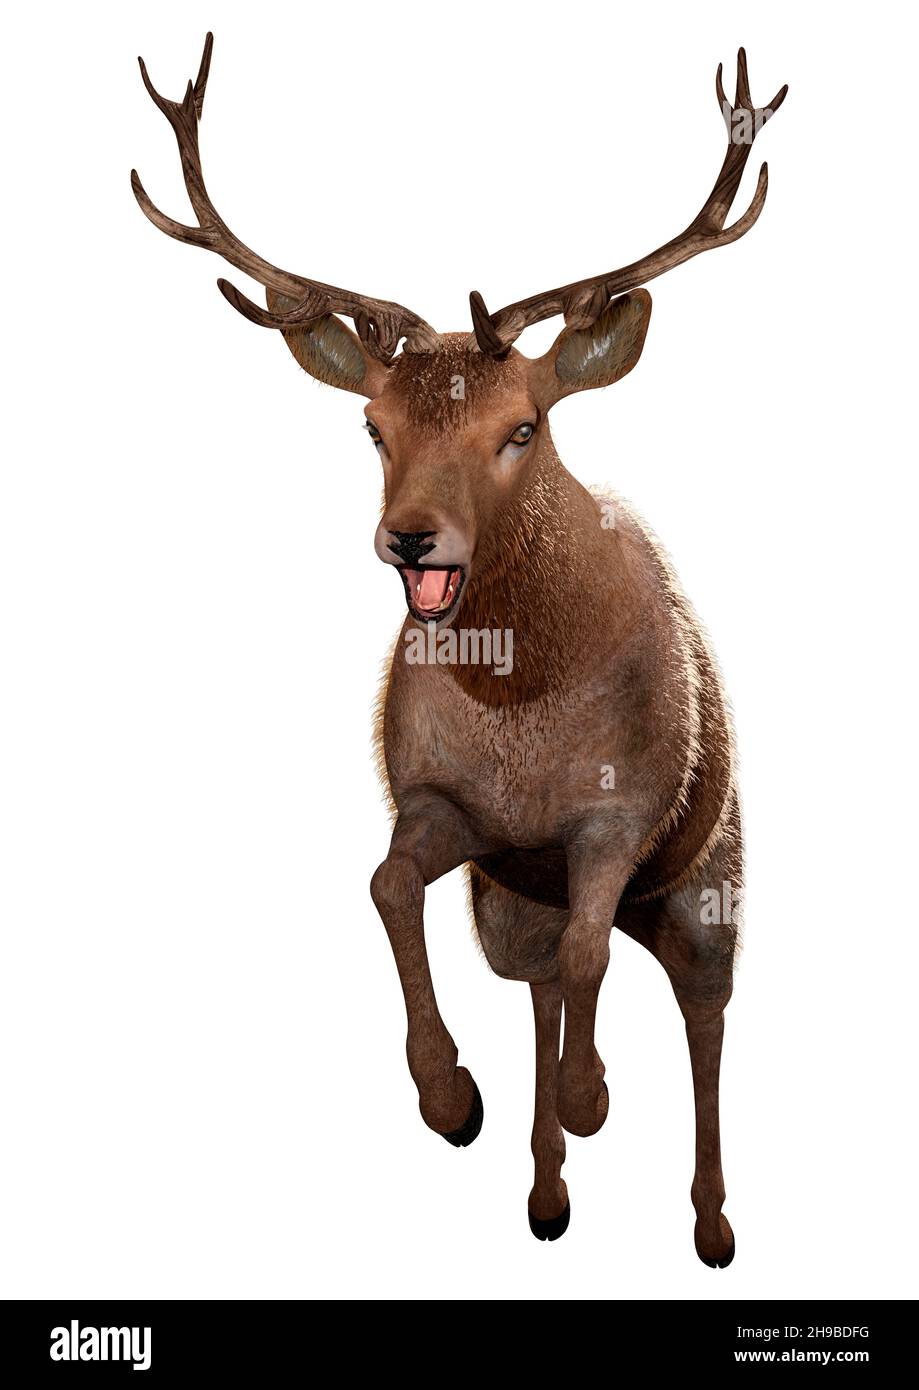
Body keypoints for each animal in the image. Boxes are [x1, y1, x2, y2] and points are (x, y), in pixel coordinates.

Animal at [132, 33, 786, 1262]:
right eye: (372, 426)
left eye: (521, 428)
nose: (409, 536)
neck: (521, 706)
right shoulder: (449, 810)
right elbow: (389, 883)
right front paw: (451, 1099)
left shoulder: (622, 815)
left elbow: (595, 953)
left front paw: (595, 1097)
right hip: (508, 908)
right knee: (539, 989)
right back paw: (545, 1194)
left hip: (709, 884)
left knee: (703, 1013)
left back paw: (710, 1219)